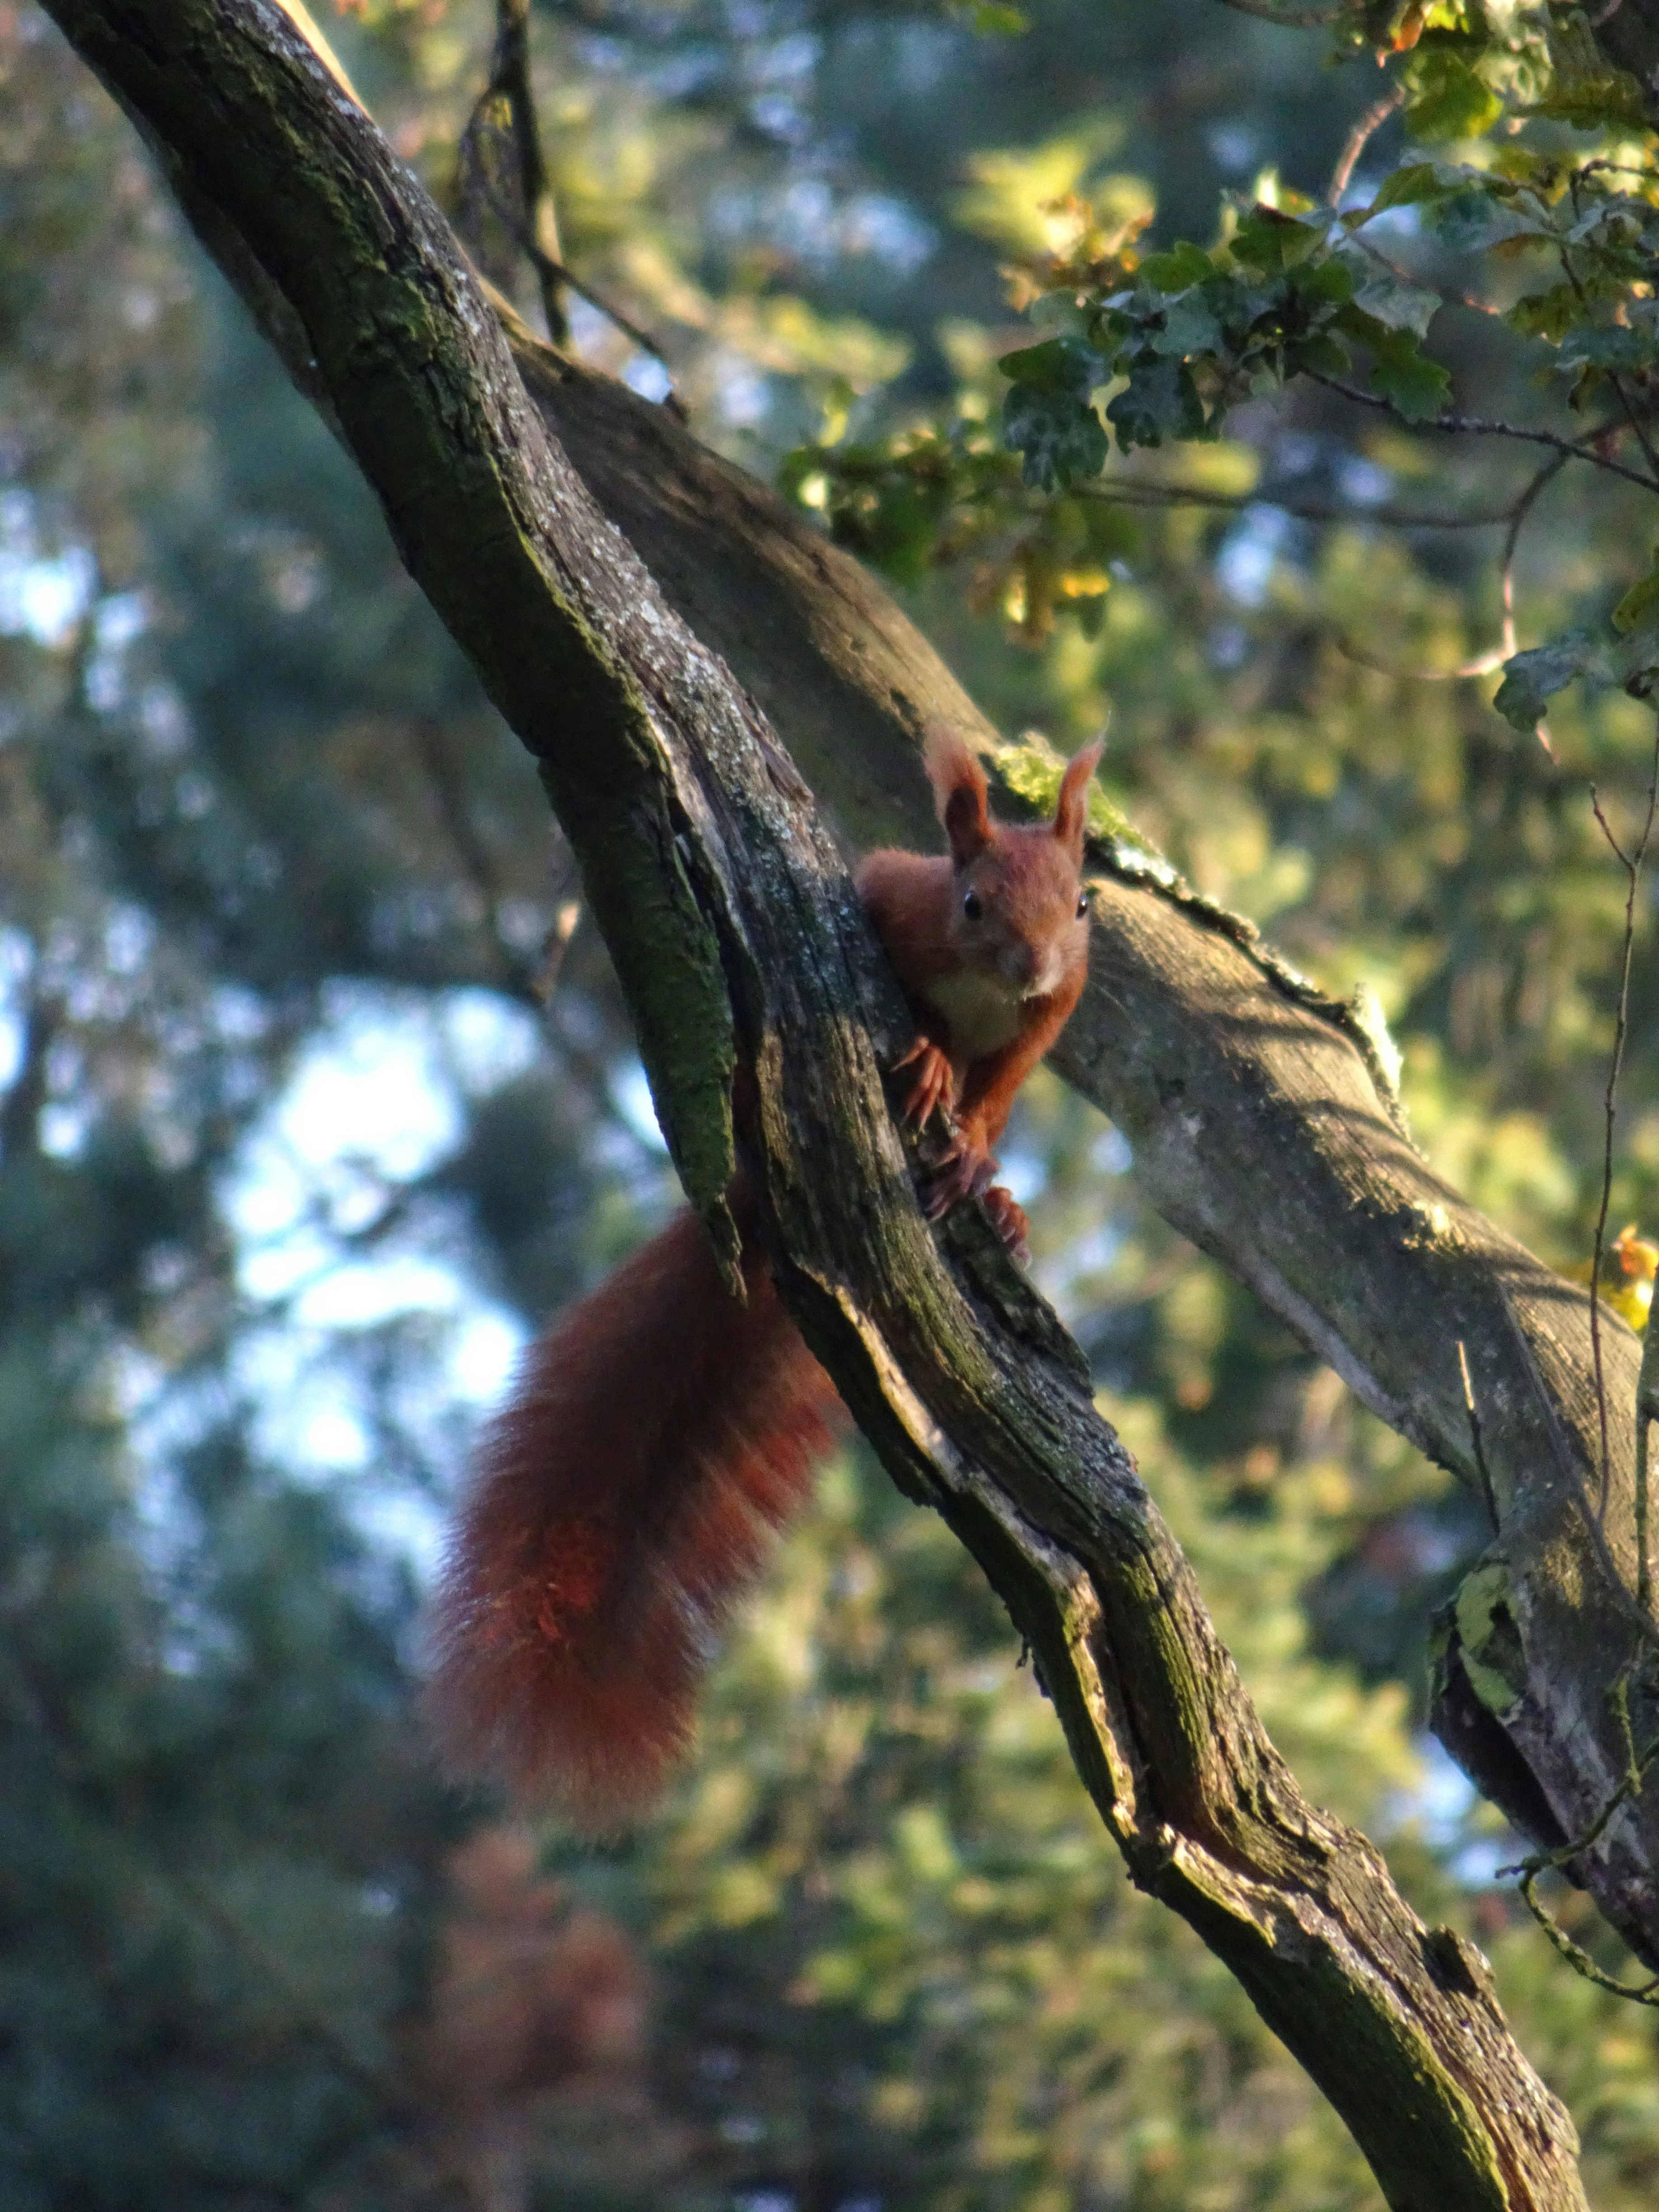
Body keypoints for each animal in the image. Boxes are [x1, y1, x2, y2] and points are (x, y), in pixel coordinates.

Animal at [428, 728, 1103, 1832]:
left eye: (1081, 905)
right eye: (971, 903)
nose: (1034, 963)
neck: (989, 992)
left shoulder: (1049, 1021)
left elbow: (997, 1095)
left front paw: (974, 1154)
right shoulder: (888, 900)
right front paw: (926, 1057)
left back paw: (1000, 1202)